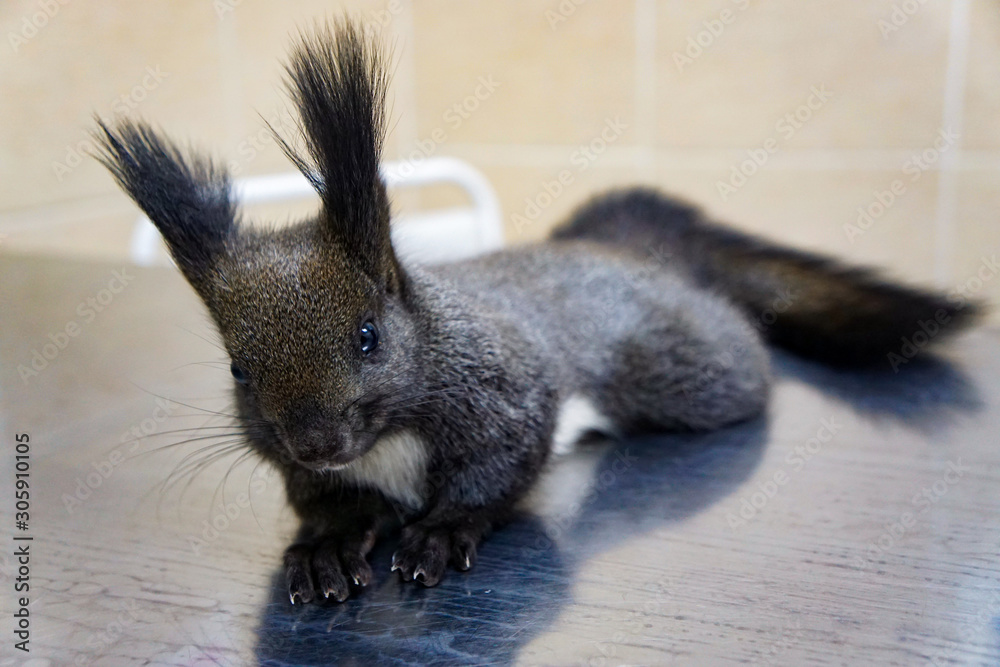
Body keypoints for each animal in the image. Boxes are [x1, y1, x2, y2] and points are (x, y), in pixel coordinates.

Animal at [93, 19, 979, 604]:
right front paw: (328, 546)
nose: (315, 441)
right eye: (238, 368)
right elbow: (324, 504)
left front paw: (443, 531)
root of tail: (616, 251)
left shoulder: (507, 391)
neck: (385, 440)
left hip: (693, 368)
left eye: (369, 336)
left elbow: (501, 466)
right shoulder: (304, 468)